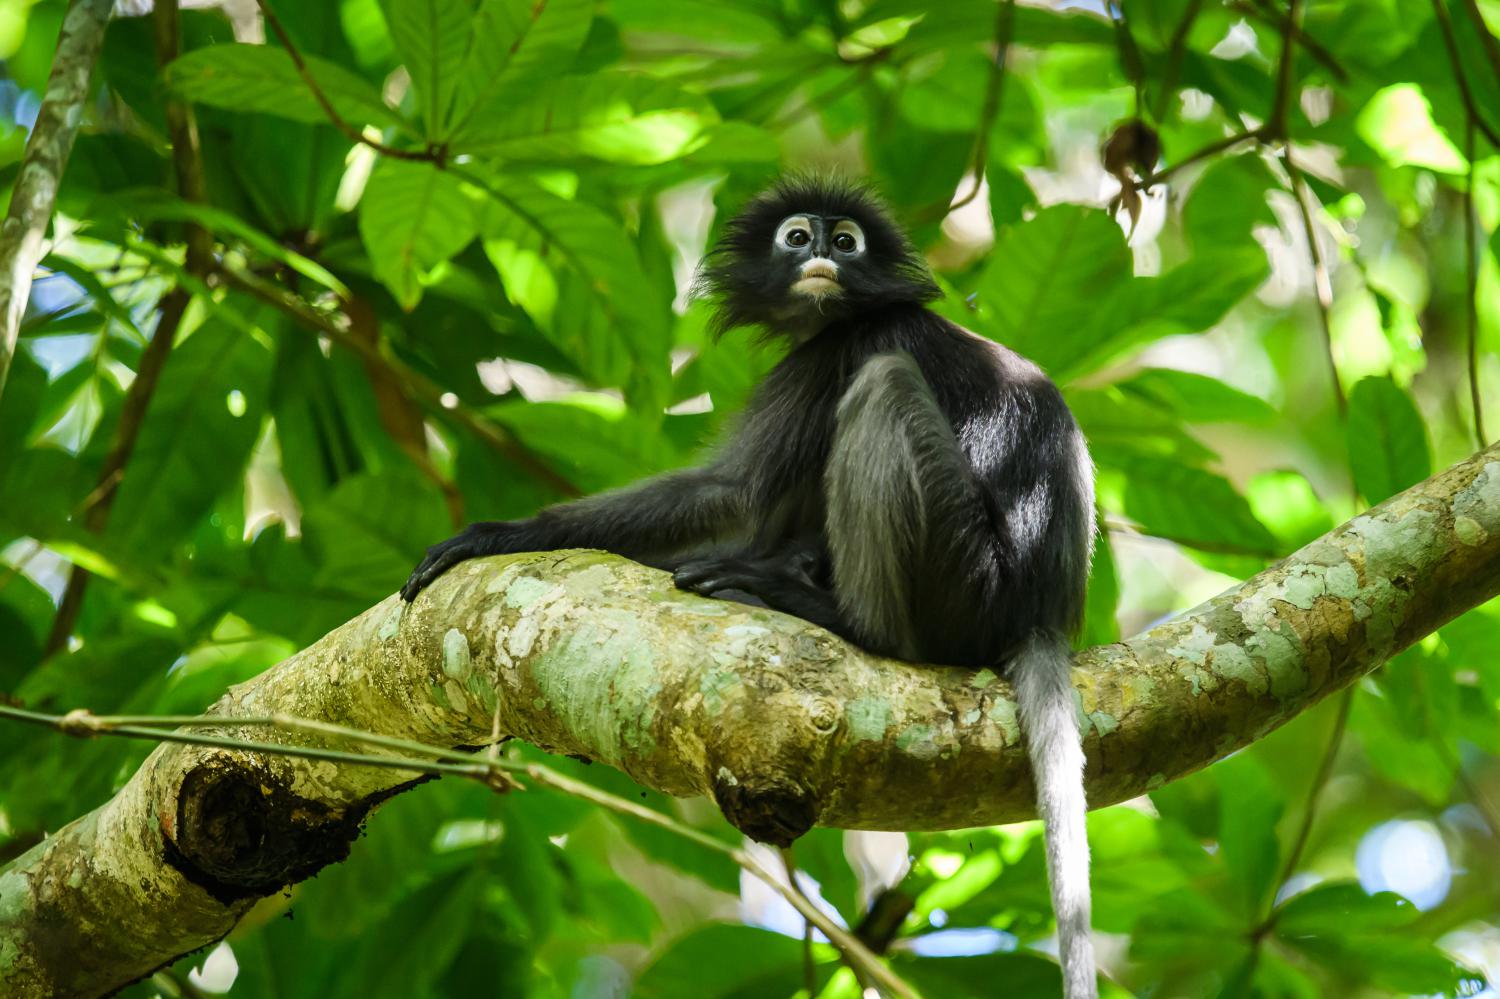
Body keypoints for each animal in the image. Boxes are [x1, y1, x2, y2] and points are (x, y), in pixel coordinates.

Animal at [401, 176, 1098, 999]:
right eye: (799, 238)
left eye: (847, 241)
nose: (825, 254)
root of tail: (1038, 610)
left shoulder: (838, 350)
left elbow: (731, 490)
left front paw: (498, 533)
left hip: (963, 577)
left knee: (884, 391)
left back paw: (837, 614)